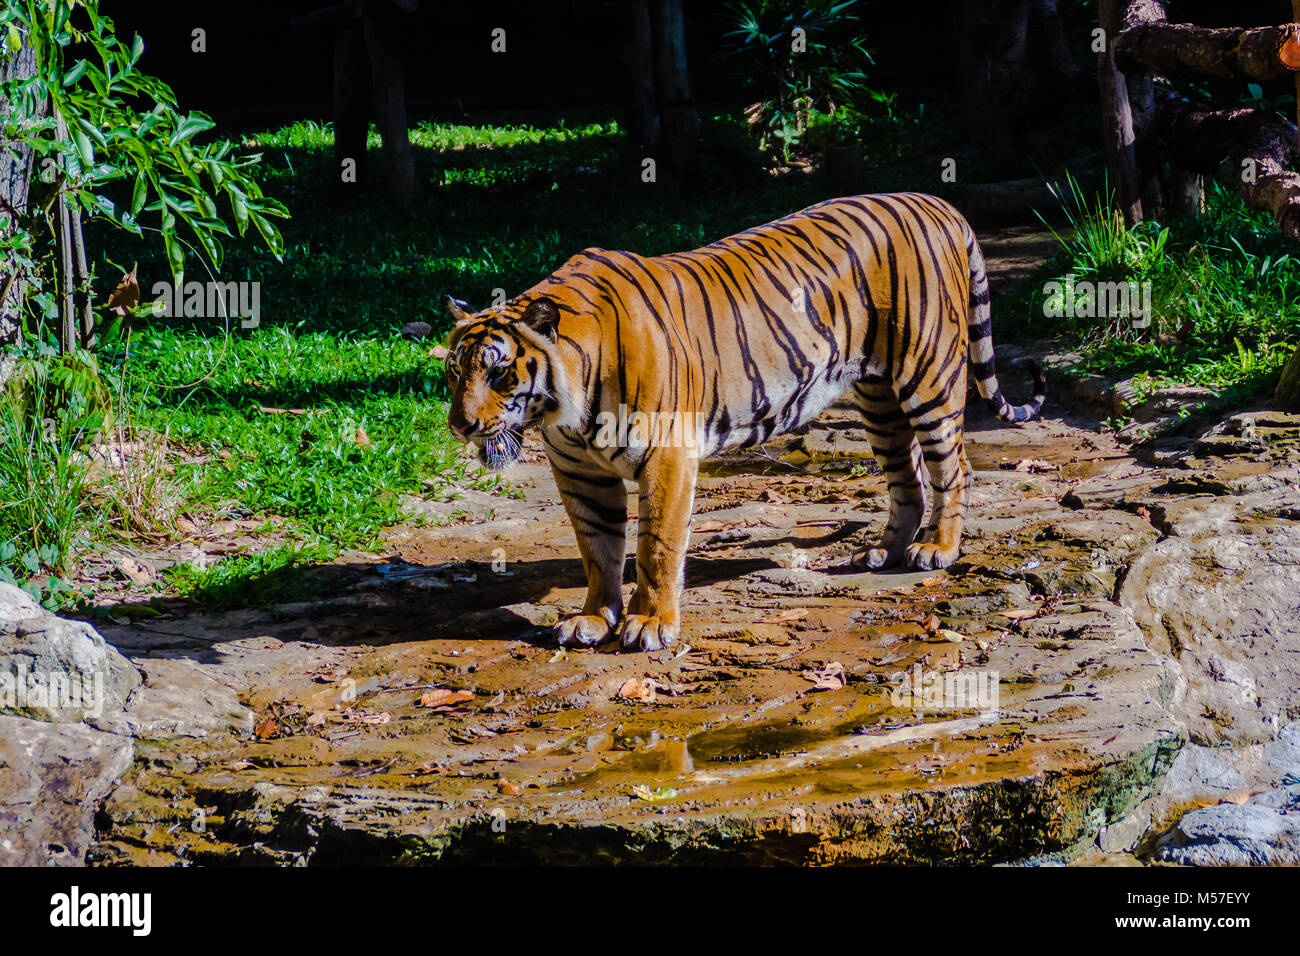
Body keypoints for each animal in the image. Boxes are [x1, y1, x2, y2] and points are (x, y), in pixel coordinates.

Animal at [442, 192, 1045, 652]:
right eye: (454, 373)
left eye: (499, 374)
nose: (461, 426)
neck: (564, 406)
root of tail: (935, 201)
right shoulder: (580, 473)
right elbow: (598, 549)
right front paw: (593, 618)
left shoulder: (666, 455)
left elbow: (657, 545)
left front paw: (649, 624)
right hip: (879, 401)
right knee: (907, 477)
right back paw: (885, 553)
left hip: (928, 378)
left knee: (953, 467)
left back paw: (937, 549)